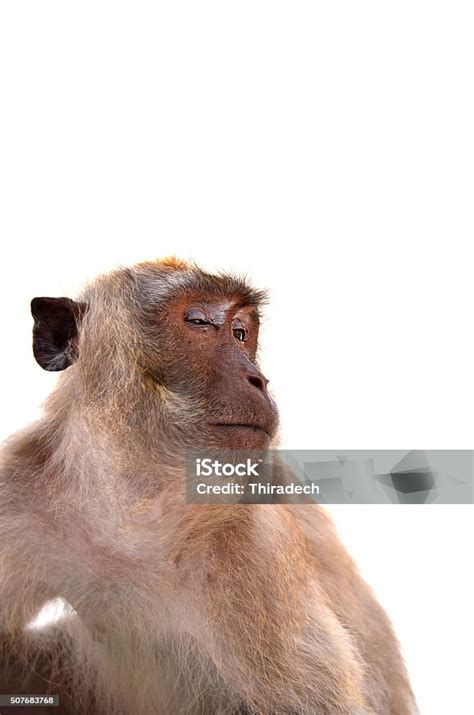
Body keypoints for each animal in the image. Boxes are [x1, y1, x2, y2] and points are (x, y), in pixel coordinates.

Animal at [0, 257, 418, 714]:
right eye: (199, 322)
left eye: (240, 333)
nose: (259, 380)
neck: (133, 510)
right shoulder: (16, 495)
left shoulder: (252, 544)